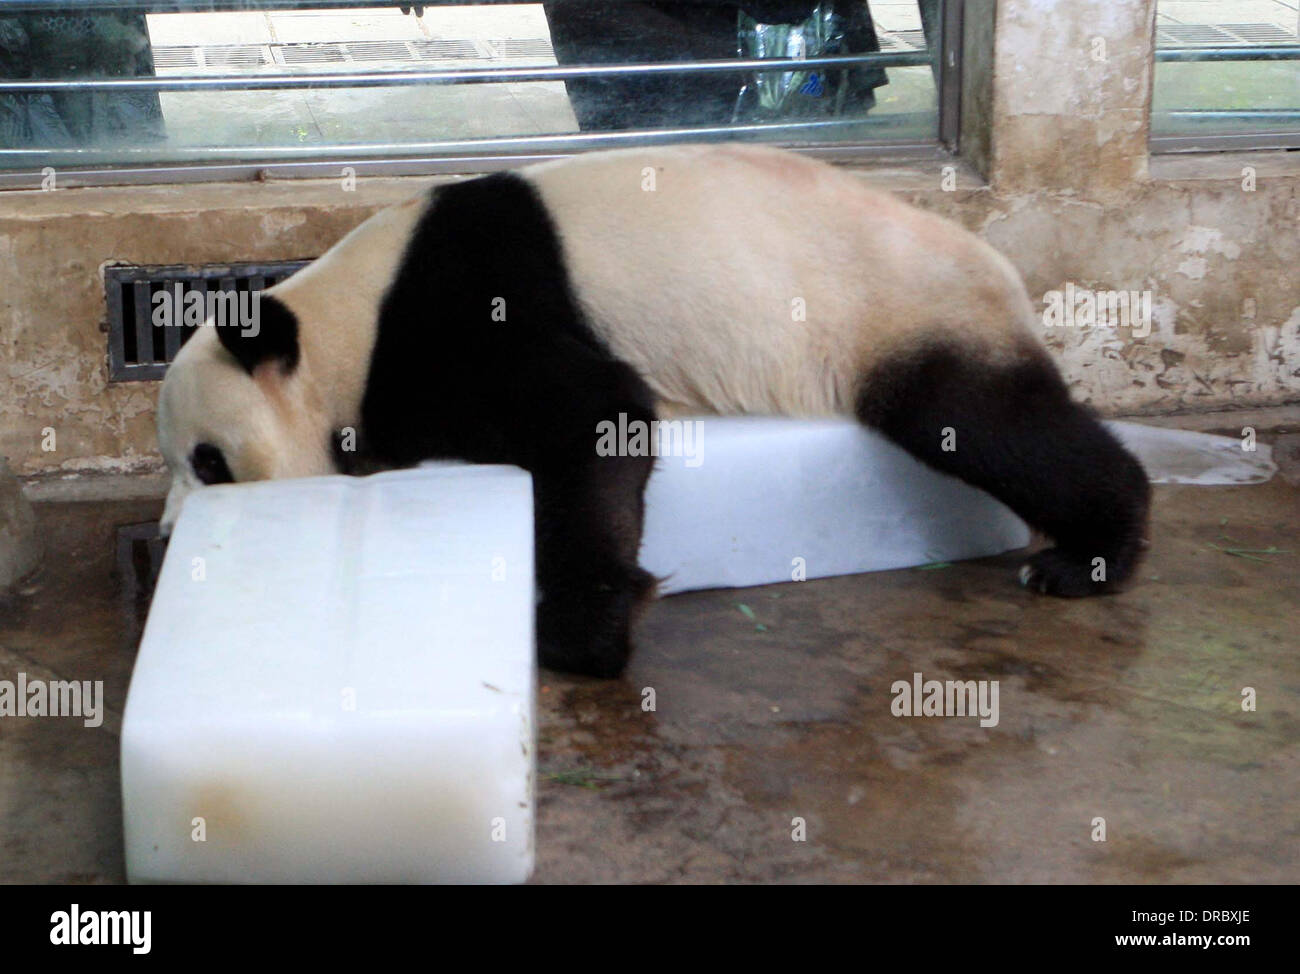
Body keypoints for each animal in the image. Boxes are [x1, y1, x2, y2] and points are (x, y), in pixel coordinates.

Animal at [156, 143, 1150, 677]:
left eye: (207, 460)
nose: (165, 537)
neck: (346, 324)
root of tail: (1004, 270)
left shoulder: (473, 310)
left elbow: (599, 421)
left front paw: (583, 631)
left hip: (903, 312)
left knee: (987, 422)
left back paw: (1087, 557)